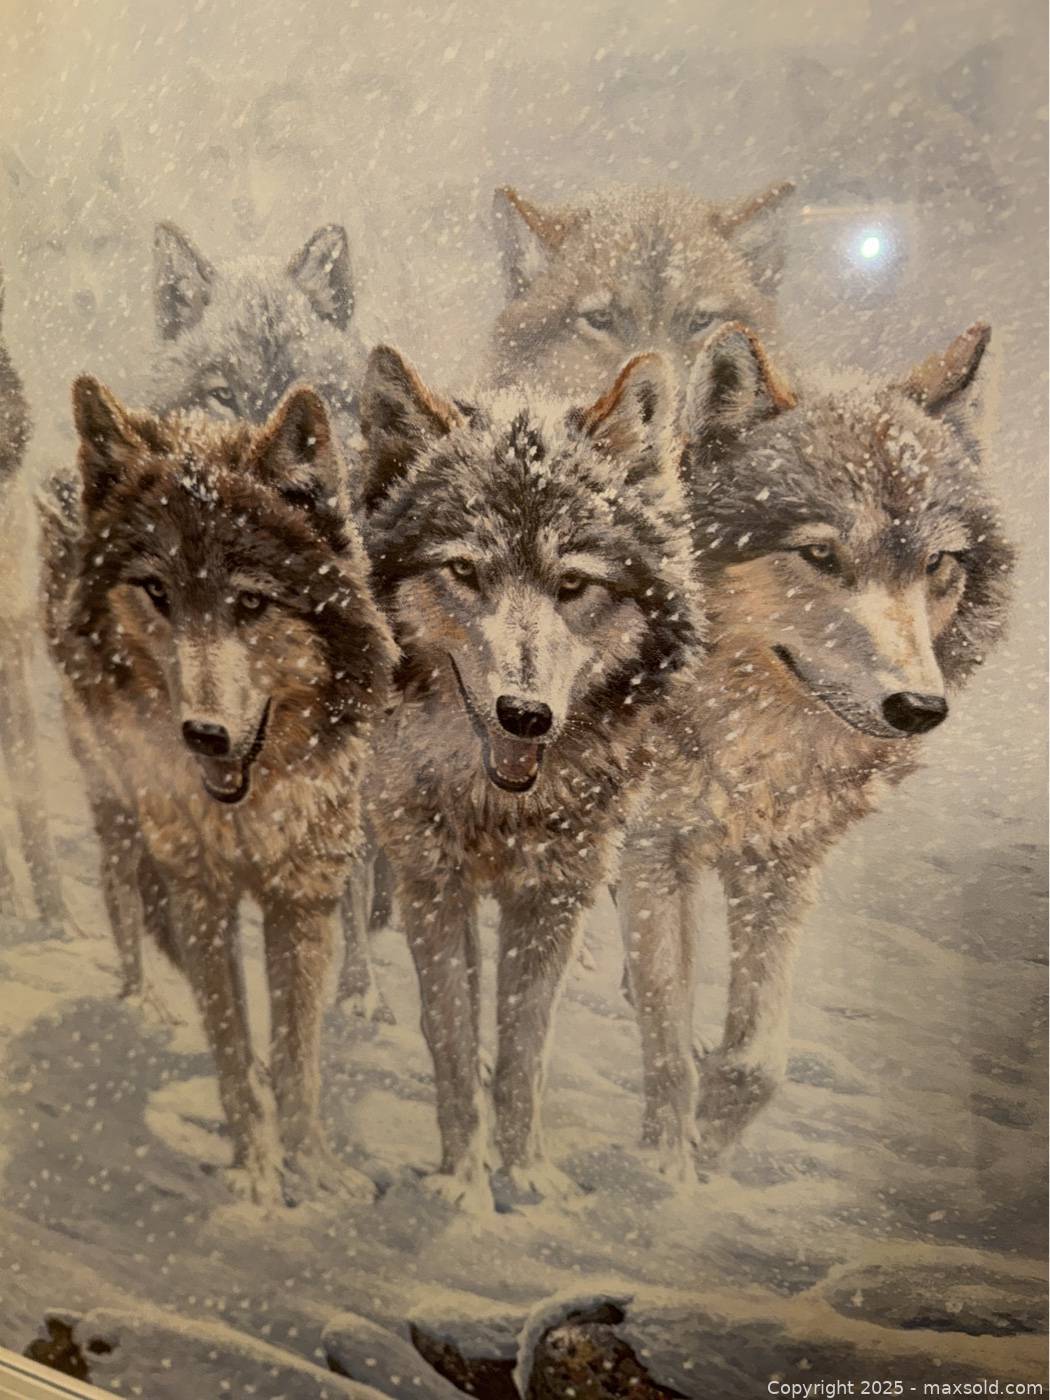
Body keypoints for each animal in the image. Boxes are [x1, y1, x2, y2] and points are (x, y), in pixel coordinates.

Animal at [40, 380, 397, 1206]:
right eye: (157, 592)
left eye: (251, 604)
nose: (202, 734)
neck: (248, 809)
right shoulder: (200, 891)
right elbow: (231, 1044)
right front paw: (258, 1173)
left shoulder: (304, 894)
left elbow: (299, 1054)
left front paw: (313, 1166)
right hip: (115, 805)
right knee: (122, 895)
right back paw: (143, 1000)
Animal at [356, 345, 703, 1209]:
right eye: (463, 570)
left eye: (573, 584)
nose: (525, 715)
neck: (497, 808)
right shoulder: (433, 883)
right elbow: (451, 1039)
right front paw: (463, 1185)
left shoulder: (556, 892)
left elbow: (523, 1048)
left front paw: (524, 1176)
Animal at [619, 320, 1014, 1181]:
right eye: (822, 555)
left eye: (937, 563)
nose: (918, 709)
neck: (756, 747)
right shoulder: (653, 847)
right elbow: (666, 1036)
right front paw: (663, 1172)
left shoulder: (785, 860)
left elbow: (760, 1060)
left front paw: (714, 1136)